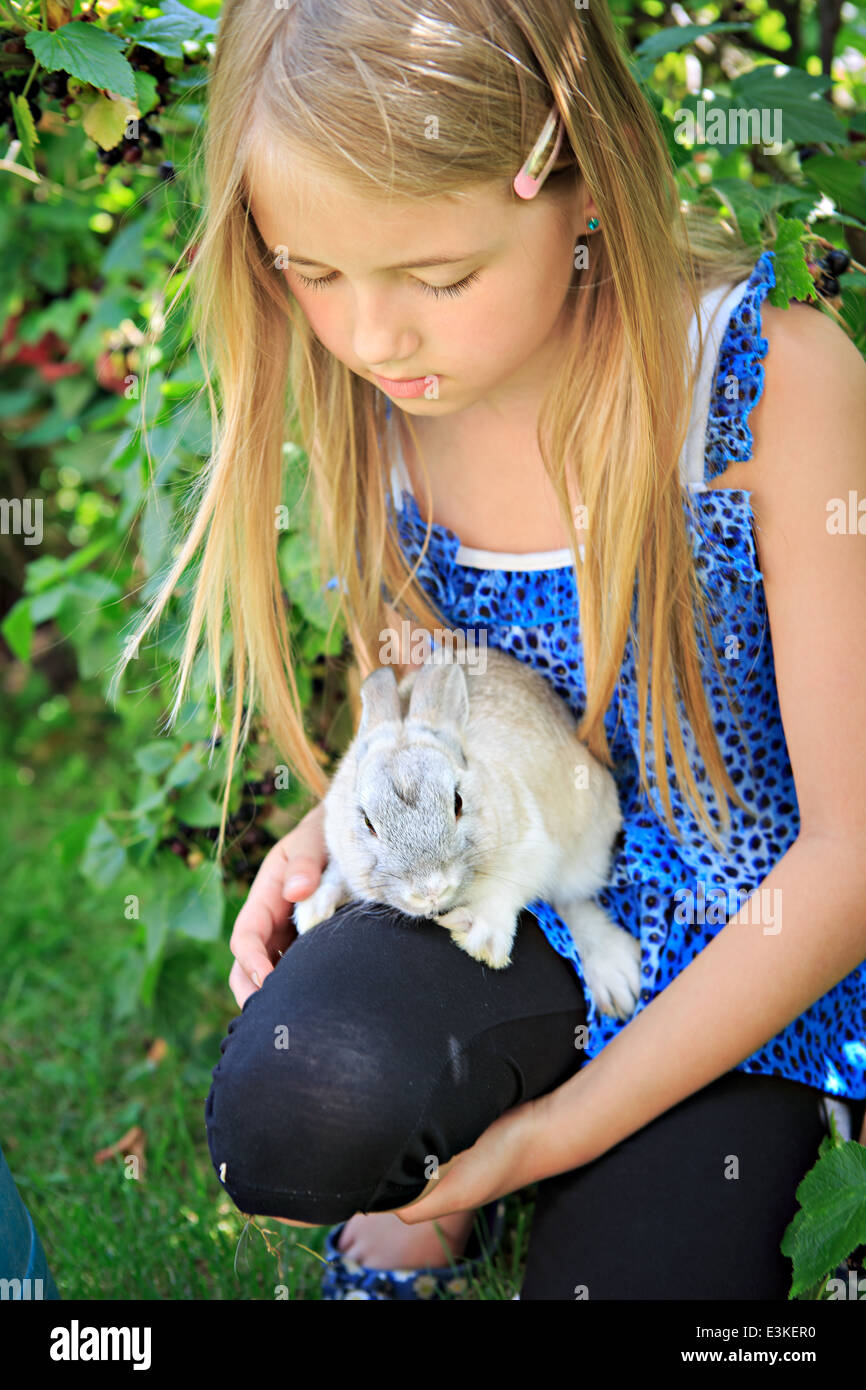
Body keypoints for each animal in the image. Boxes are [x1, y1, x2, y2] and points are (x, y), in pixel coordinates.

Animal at [293, 643, 642, 1018]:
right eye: (368, 823)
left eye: (457, 801)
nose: (431, 890)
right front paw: (312, 910)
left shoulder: (531, 850)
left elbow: (505, 892)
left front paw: (478, 935)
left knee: (573, 901)